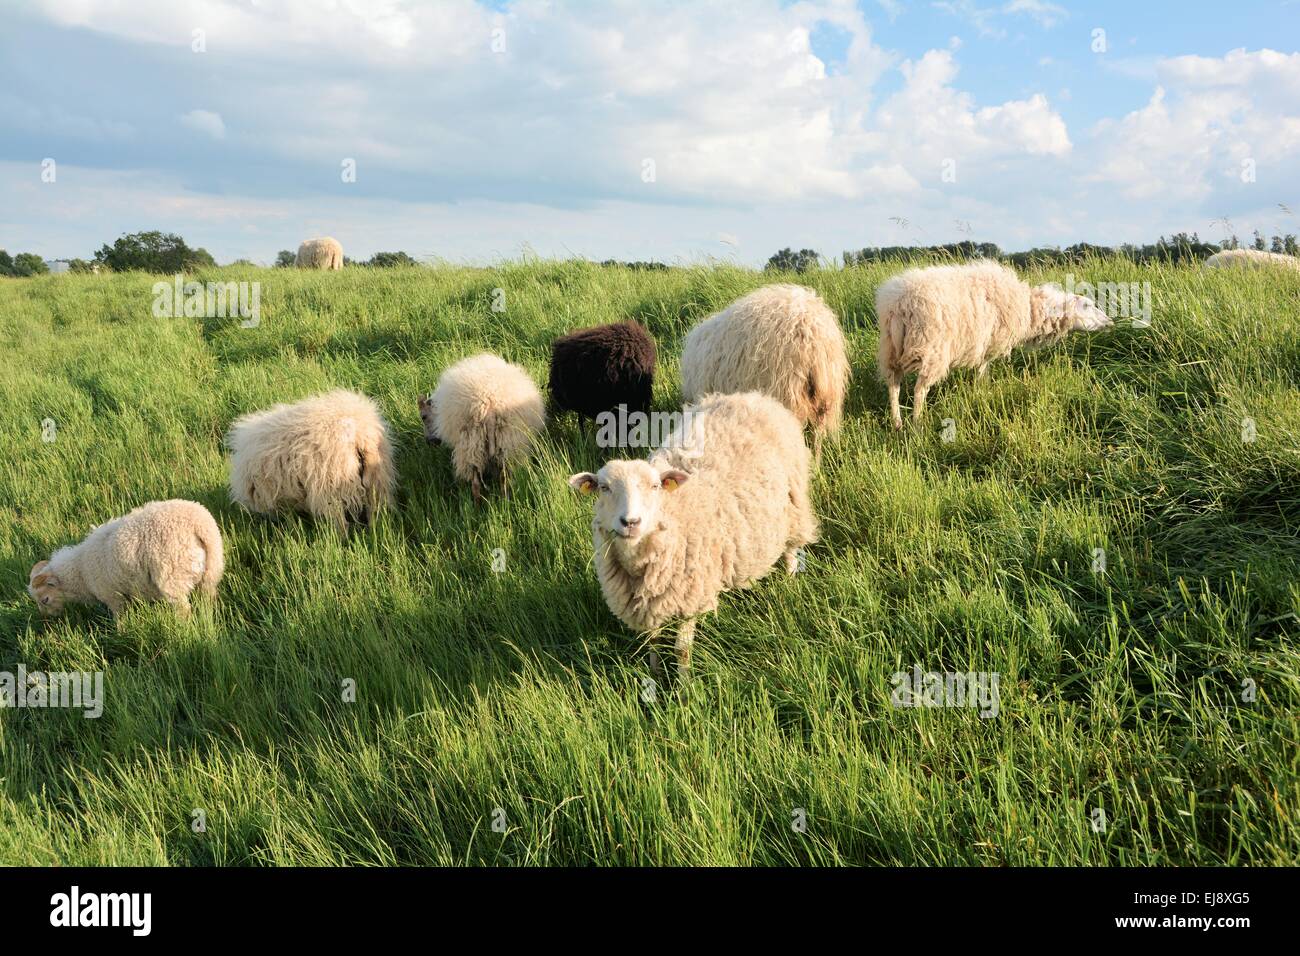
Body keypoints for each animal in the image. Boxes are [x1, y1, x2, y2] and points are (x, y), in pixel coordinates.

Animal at [28, 499, 224, 621]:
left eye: (45, 599)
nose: (46, 619)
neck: (80, 571)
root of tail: (198, 524)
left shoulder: (113, 596)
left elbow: (120, 618)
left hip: (173, 576)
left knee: (184, 609)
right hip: (211, 570)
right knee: (208, 598)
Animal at [418, 353, 546, 502]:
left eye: (423, 417)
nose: (430, 442)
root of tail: (489, 404)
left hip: (471, 443)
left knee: (476, 483)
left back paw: (478, 505)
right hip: (506, 442)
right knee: (501, 478)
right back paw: (503, 501)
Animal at [567, 390, 818, 676]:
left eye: (655, 486)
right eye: (604, 488)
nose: (631, 521)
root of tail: (753, 397)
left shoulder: (690, 594)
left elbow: (682, 650)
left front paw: (685, 684)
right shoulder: (647, 601)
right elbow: (652, 642)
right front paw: (655, 673)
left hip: (794, 505)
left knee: (791, 549)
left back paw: (789, 580)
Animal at [875, 260, 1113, 429]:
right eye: (1088, 305)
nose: (1110, 322)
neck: (1030, 308)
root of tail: (900, 305)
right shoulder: (988, 344)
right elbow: (983, 372)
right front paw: (982, 393)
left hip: (890, 349)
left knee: (893, 385)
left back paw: (897, 423)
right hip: (931, 348)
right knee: (919, 389)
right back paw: (917, 424)